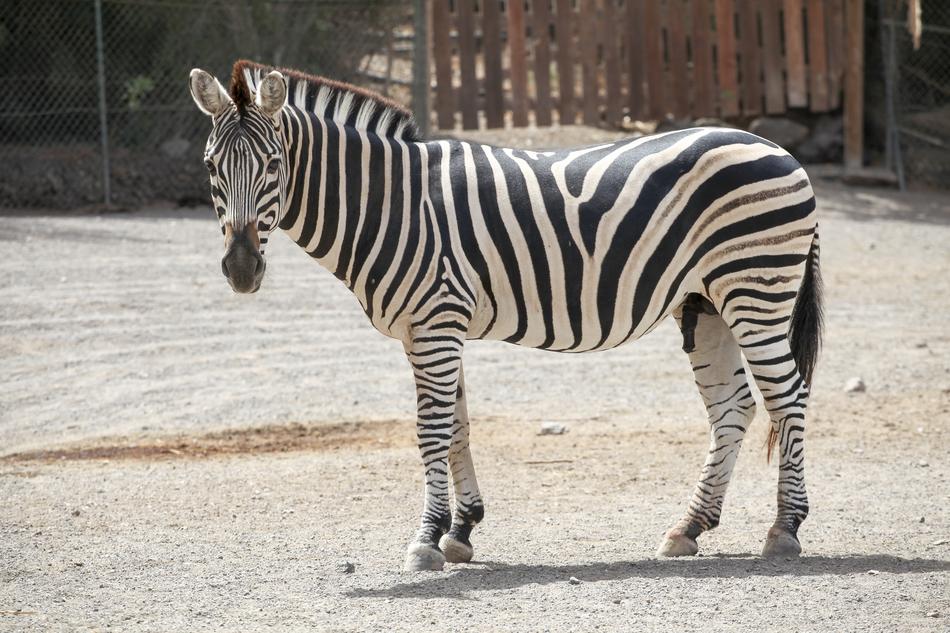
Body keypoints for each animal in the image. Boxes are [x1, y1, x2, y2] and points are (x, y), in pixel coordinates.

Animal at [189, 60, 823, 571]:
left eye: (273, 164)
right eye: (211, 165)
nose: (241, 269)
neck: (391, 204)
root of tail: (778, 149)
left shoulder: (436, 323)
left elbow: (431, 430)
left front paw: (425, 540)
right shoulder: (430, 329)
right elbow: (457, 426)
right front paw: (461, 530)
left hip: (756, 289)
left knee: (786, 397)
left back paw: (785, 529)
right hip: (705, 303)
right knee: (733, 408)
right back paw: (688, 528)